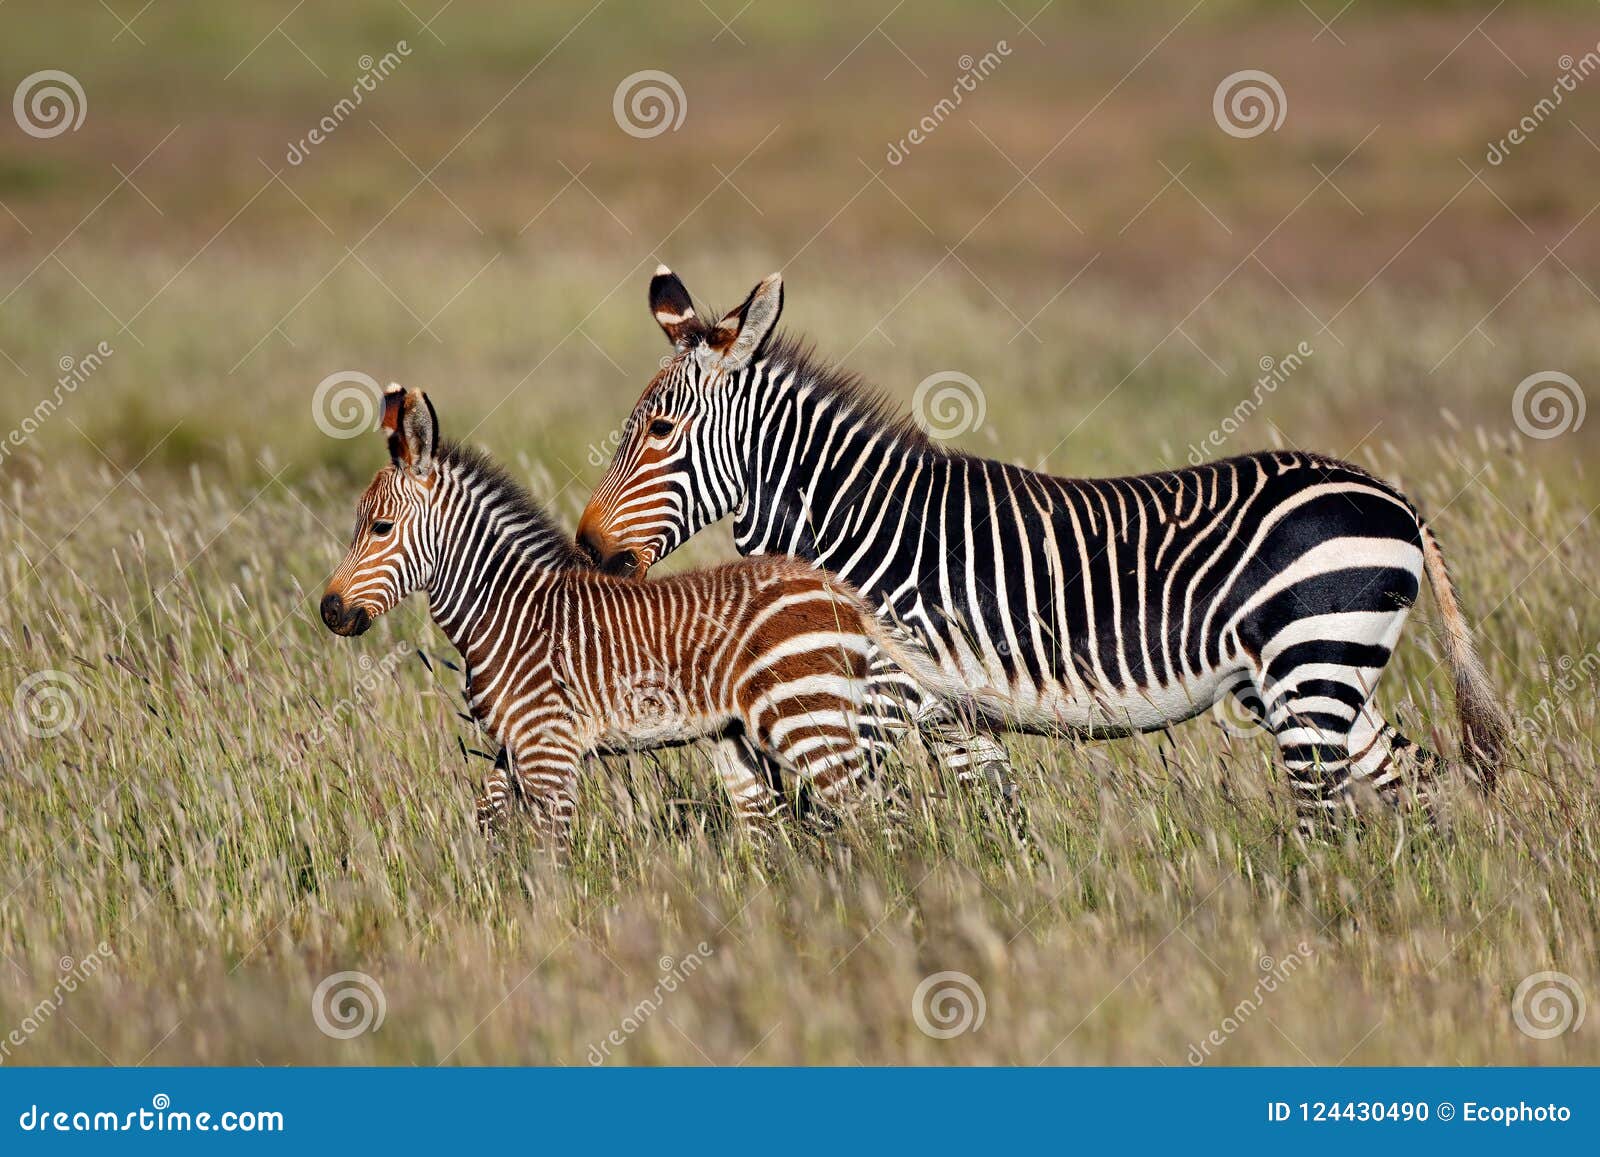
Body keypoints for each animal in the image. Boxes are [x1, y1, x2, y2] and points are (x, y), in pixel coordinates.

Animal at [319, 383, 944, 840]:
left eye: (381, 528)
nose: (329, 611)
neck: (507, 609)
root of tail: (838, 588)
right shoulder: (514, 744)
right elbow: (489, 821)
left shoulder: (549, 747)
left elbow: (551, 851)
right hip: (753, 731)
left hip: (806, 717)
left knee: (880, 814)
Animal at [575, 268, 1511, 834]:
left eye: (660, 431)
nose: (589, 547)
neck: (859, 526)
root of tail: (1395, 497)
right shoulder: (951, 710)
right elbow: (997, 822)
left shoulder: (882, 696)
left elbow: (856, 814)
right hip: (1321, 676)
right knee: (1418, 779)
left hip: (1312, 667)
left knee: (1330, 813)